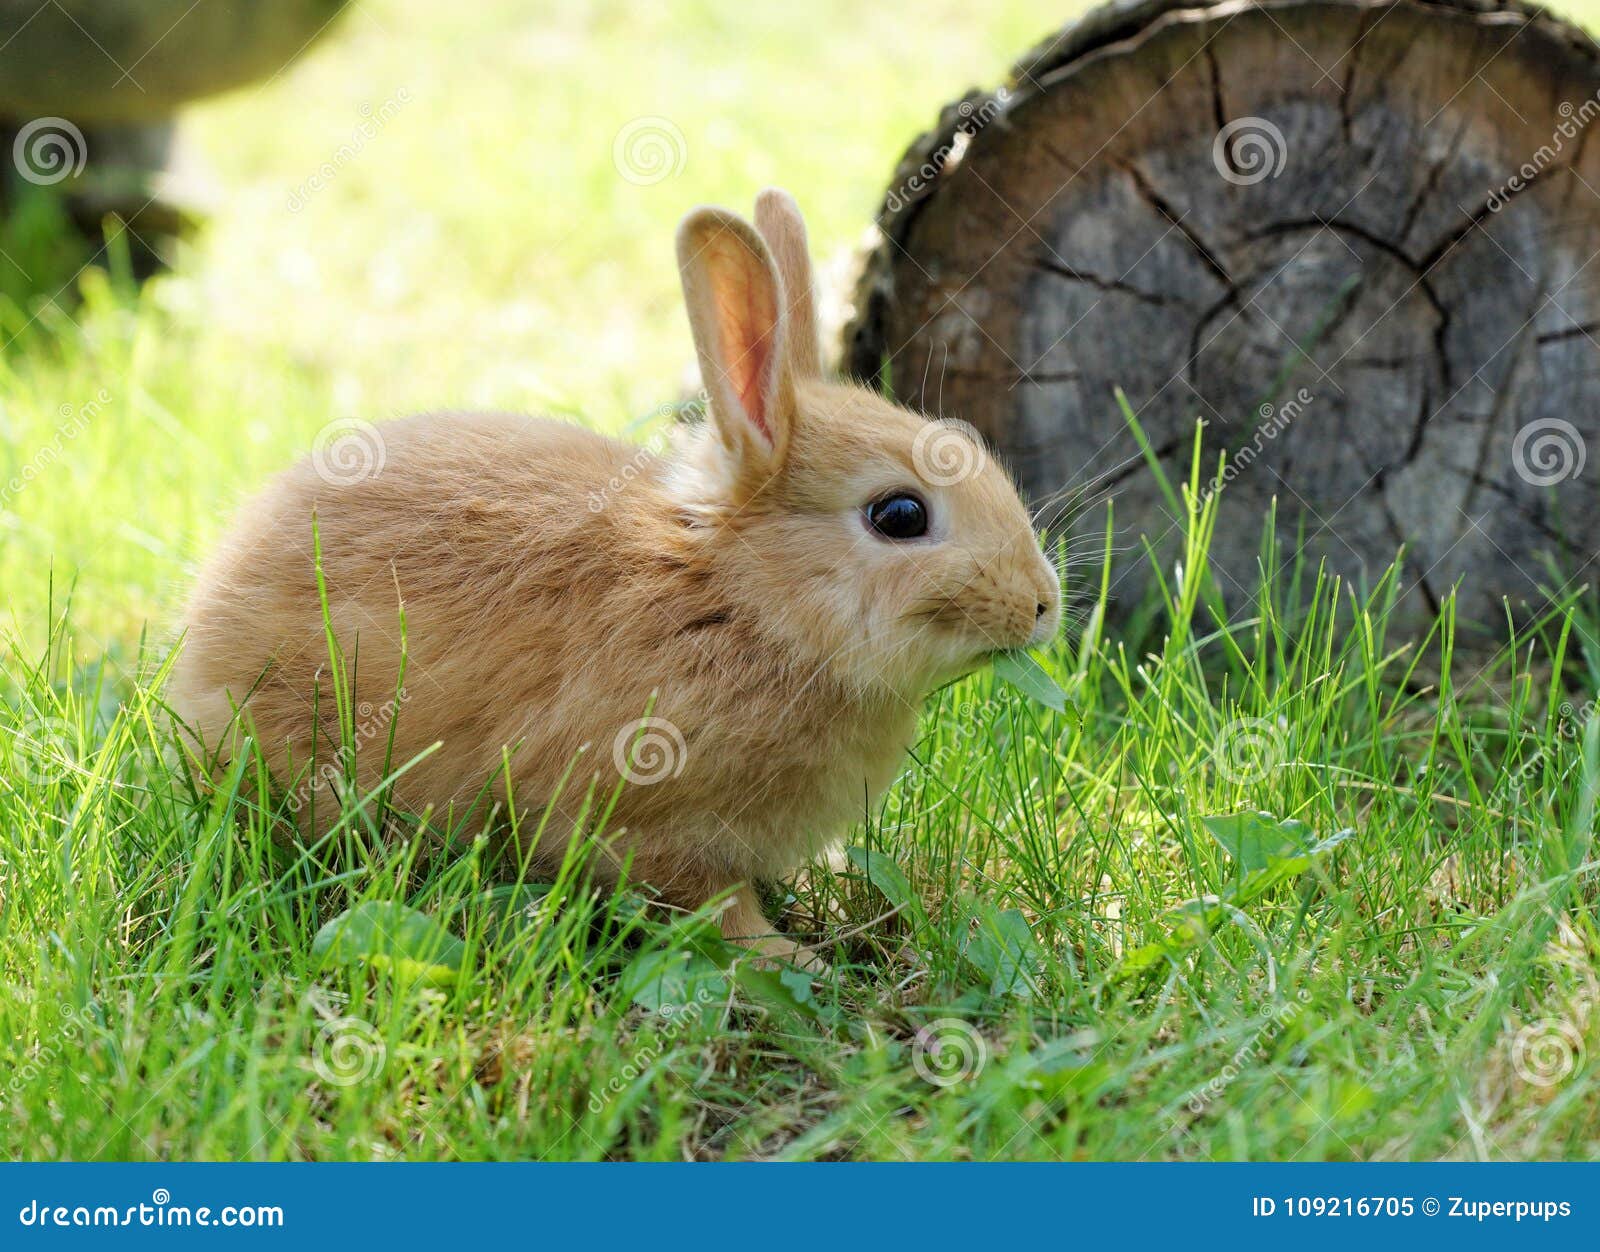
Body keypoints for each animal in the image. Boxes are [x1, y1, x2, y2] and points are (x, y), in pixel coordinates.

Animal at [170, 188, 1062, 965]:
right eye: (900, 515)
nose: (1043, 605)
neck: (741, 601)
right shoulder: (652, 820)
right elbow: (714, 905)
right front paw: (789, 959)